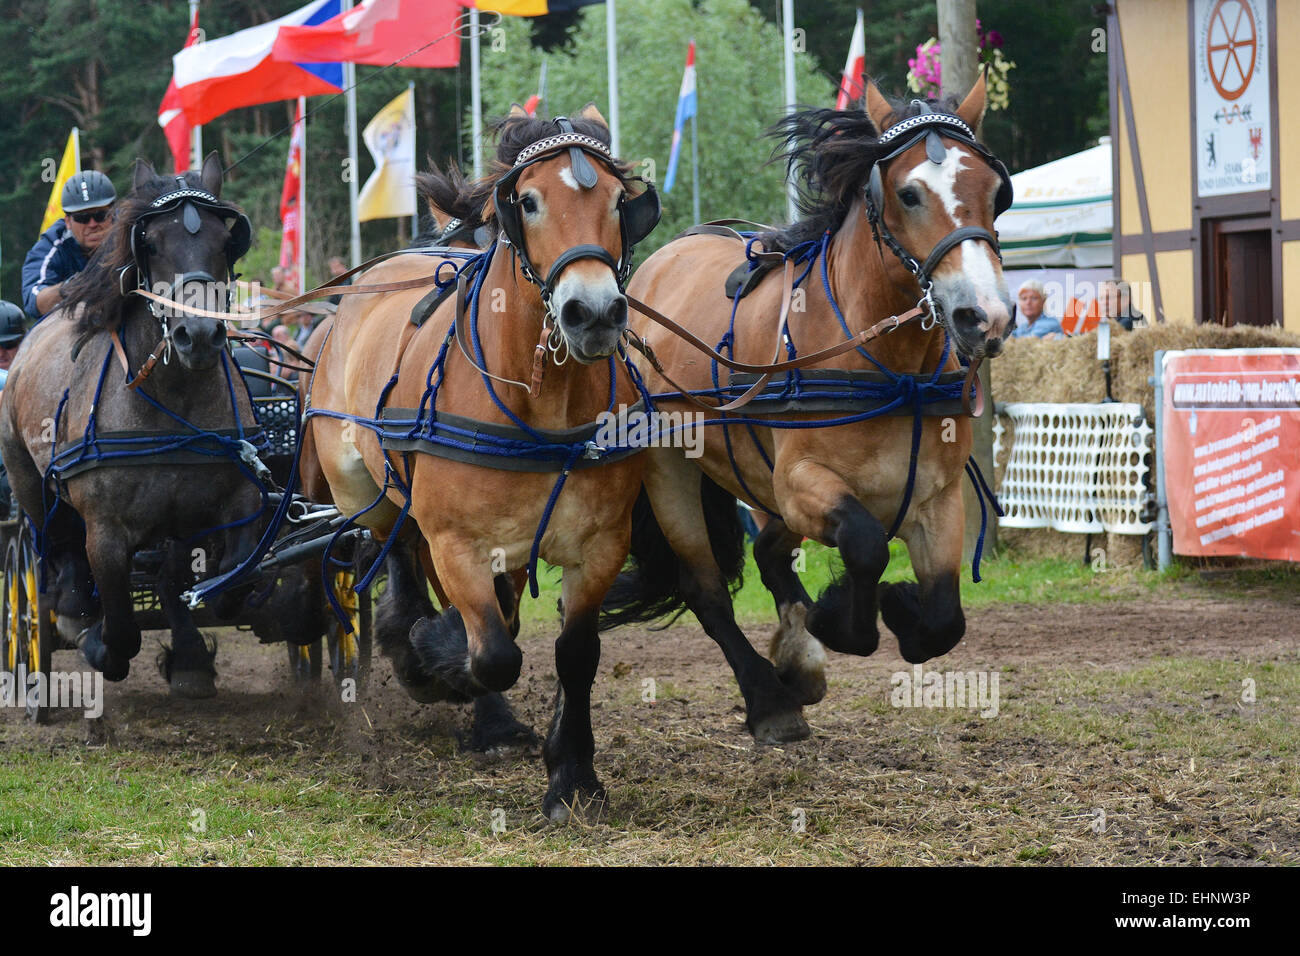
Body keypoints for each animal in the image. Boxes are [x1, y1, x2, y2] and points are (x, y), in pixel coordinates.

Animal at [0, 153, 271, 698]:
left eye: (225, 240)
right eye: (151, 242)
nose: (198, 335)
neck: (173, 399)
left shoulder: (235, 501)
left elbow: (228, 581)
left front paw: (194, 652)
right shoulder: (104, 531)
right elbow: (122, 627)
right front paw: (97, 641)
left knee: (168, 571)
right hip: (30, 486)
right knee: (59, 548)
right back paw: (70, 613)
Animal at [301, 105, 660, 817]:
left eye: (618, 200)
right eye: (529, 201)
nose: (593, 313)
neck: (542, 402)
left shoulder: (601, 544)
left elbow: (575, 653)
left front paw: (572, 774)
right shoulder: (458, 542)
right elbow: (493, 653)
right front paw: (434, 656)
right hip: (366, 492)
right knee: (400, 552)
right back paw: (421, 657)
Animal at [601, 77, 1014, 743]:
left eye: (997, 193)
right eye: (908, 194)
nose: (985, 316)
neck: (891, 369)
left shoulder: (938, 500)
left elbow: (945, 618)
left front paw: (896, 608)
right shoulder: (800, 485)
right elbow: (866, 544)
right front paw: (841, 617)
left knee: (769, 555)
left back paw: (797, 663)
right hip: (675, 472)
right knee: (707, 589)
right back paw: (771, 700)